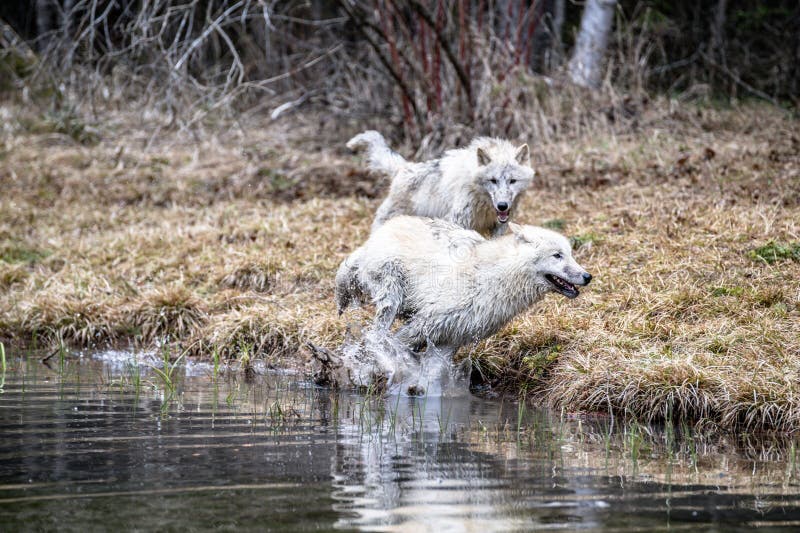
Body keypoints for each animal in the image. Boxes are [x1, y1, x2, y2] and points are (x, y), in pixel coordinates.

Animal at [335, 216, 592, 359]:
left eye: (570, 254)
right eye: (557, 255)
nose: (588, 276)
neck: (492, 277)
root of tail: (375, 236)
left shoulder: (452, 338)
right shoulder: (423, 324)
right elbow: (396, 345)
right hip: (391, 300)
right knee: (376, 334)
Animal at [347, 131, 535, 236]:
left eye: (512, 181)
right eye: (493, 180)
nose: (502, 206)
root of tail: (404, 168)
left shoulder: (498, 228)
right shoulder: (458, 223)